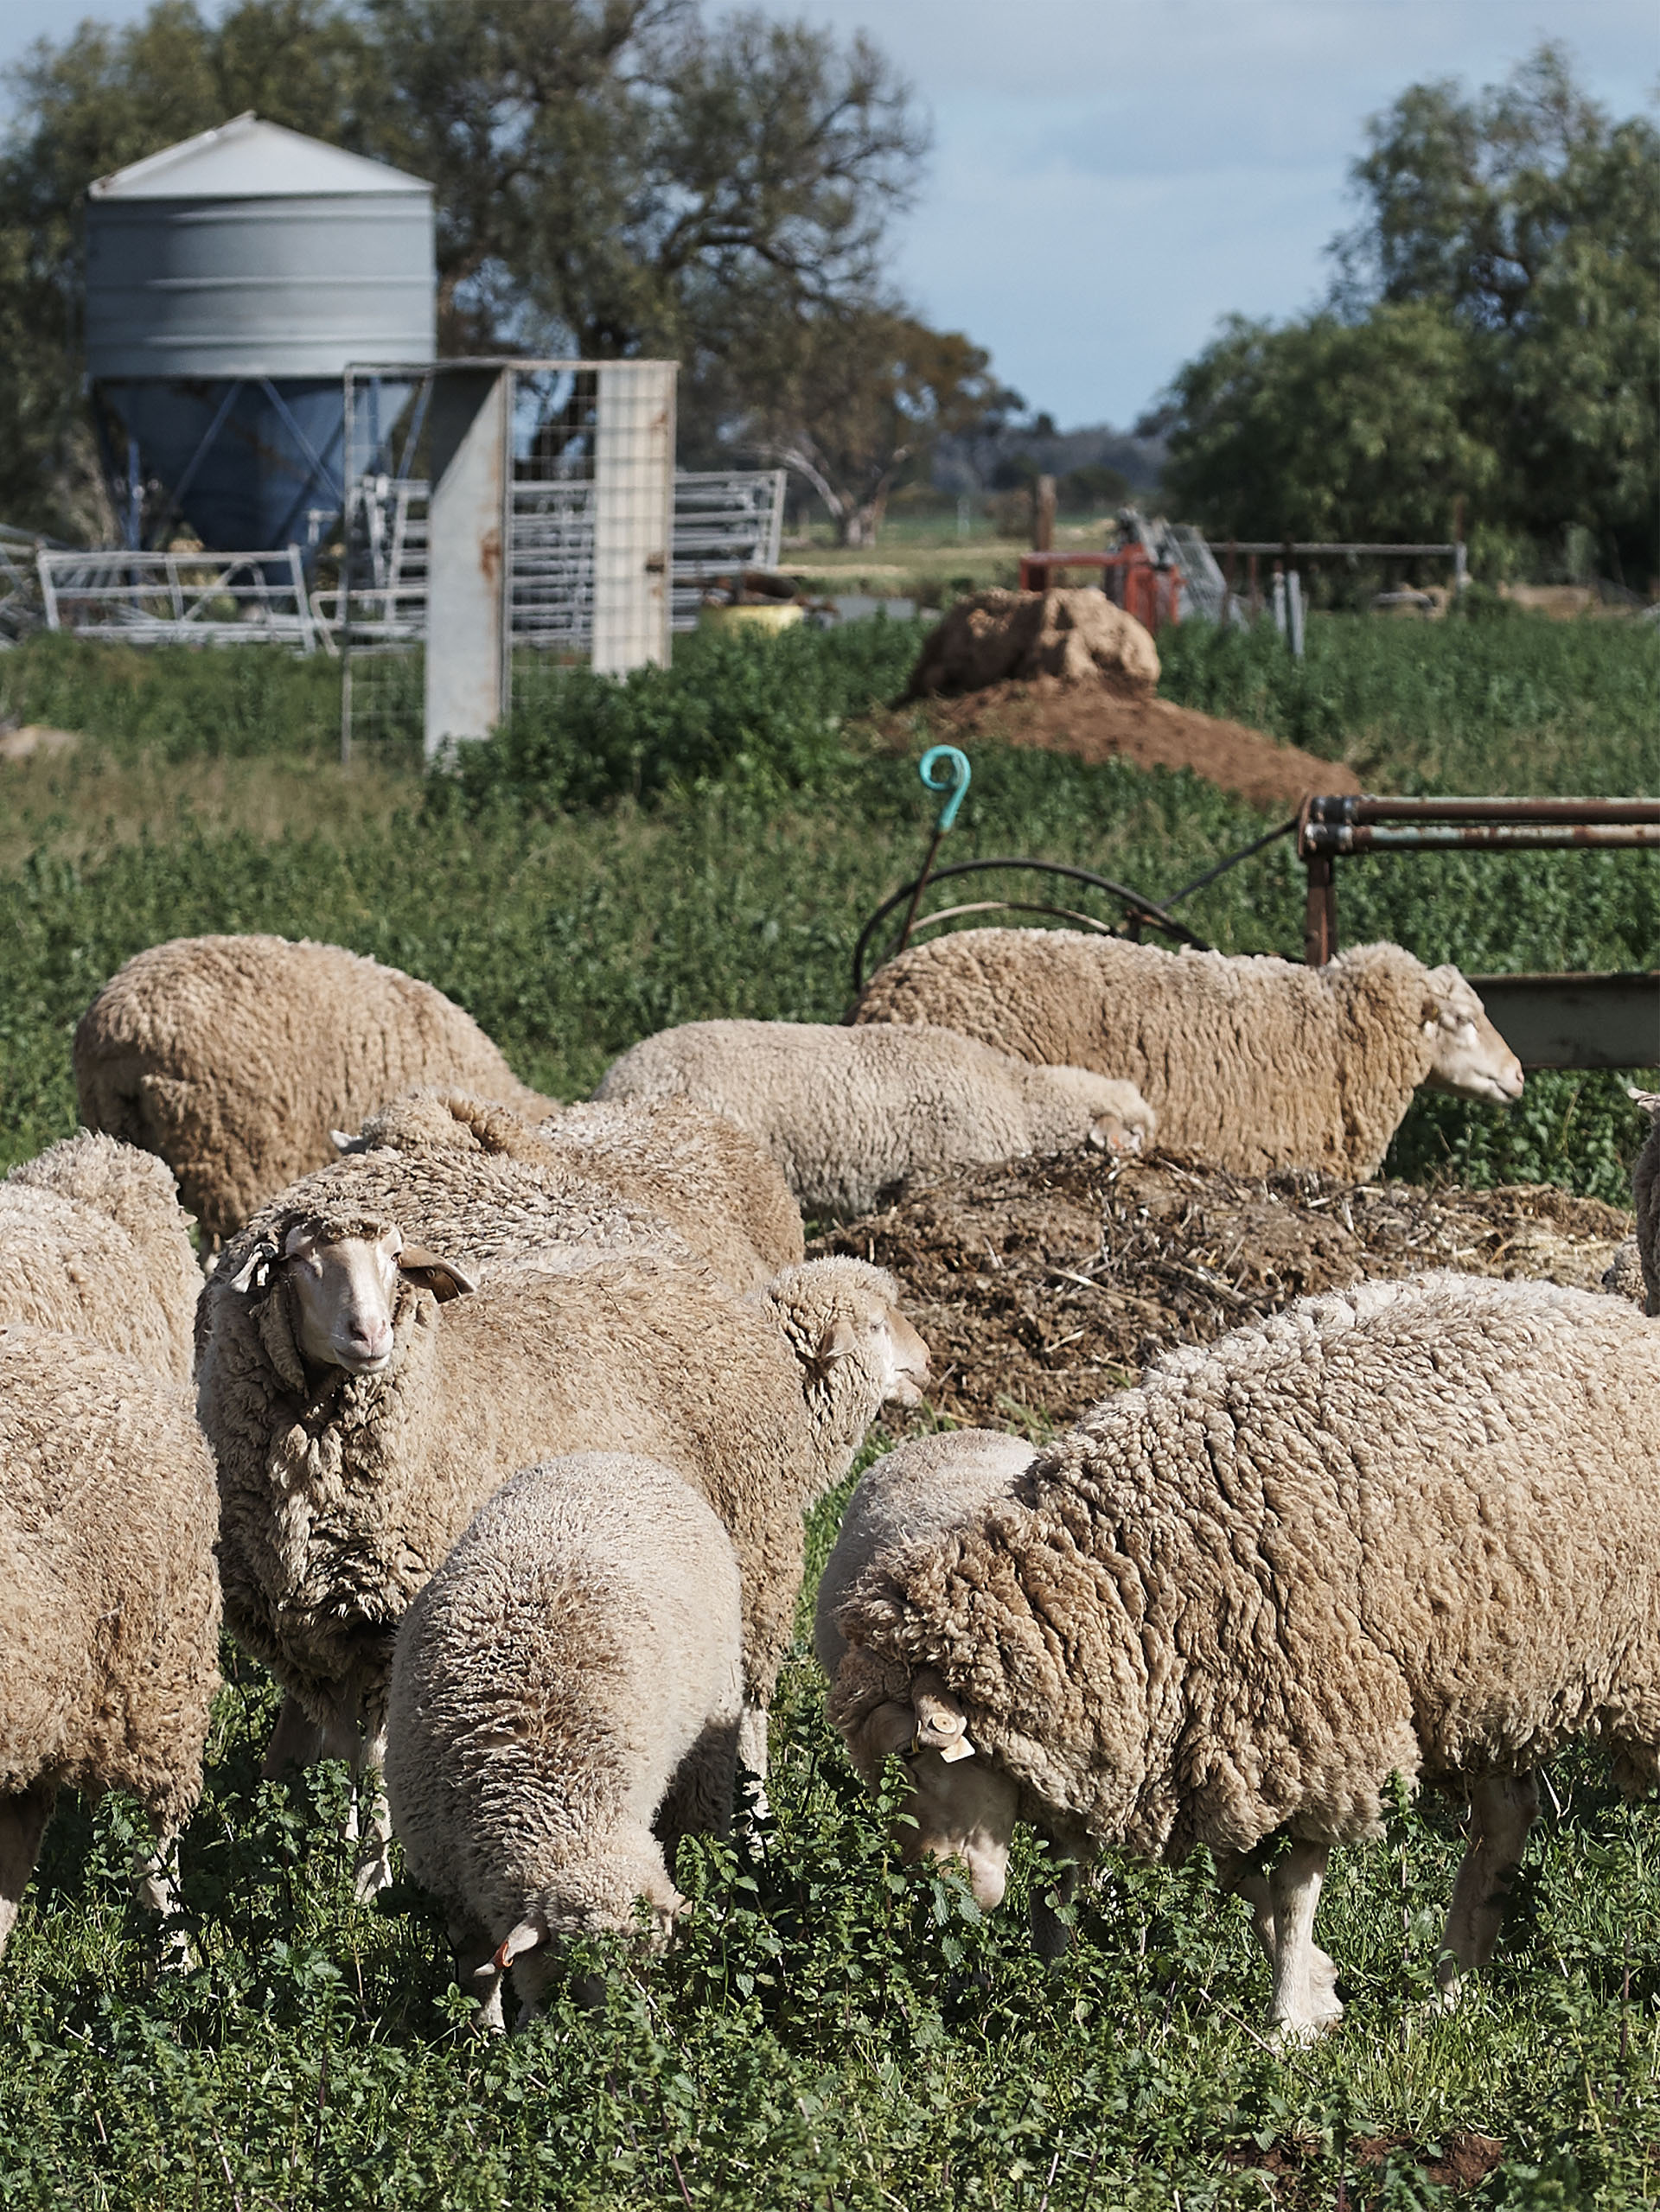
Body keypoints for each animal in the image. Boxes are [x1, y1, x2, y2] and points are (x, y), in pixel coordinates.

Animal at [199, 1204, 926, 1886]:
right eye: (298, 1262)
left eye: (395, 1258)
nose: (370, 1333)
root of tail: (706, 1288)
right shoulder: (325, 1645)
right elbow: (349, 1759)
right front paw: (345, 1859)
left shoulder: (394, 1629)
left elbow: (376, 1764)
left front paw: (369, 1885)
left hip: (756, 1563)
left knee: (749, 1711)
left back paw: (755, 1835)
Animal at [384, 1453, 743, 2030]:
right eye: (584, 1965)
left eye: (653, 1965)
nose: (636, 2037)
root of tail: (616, 1457)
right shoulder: (451, 1885)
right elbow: (477, 1975)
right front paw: (484, 2035)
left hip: (719, 1704)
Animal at [828, 1272, 1660, 2041]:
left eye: (915, 1753)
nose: (929, 1884)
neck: (1122, 1573)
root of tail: (1625, 1317)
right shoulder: (1220, 1743)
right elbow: (1243, 1879)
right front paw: (1323, 1991)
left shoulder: (1315, 1730)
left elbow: (1290, 1891)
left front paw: (1290, 2021)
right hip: (1498, 1679)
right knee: (1506, 1820)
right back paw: (1447, 1993)